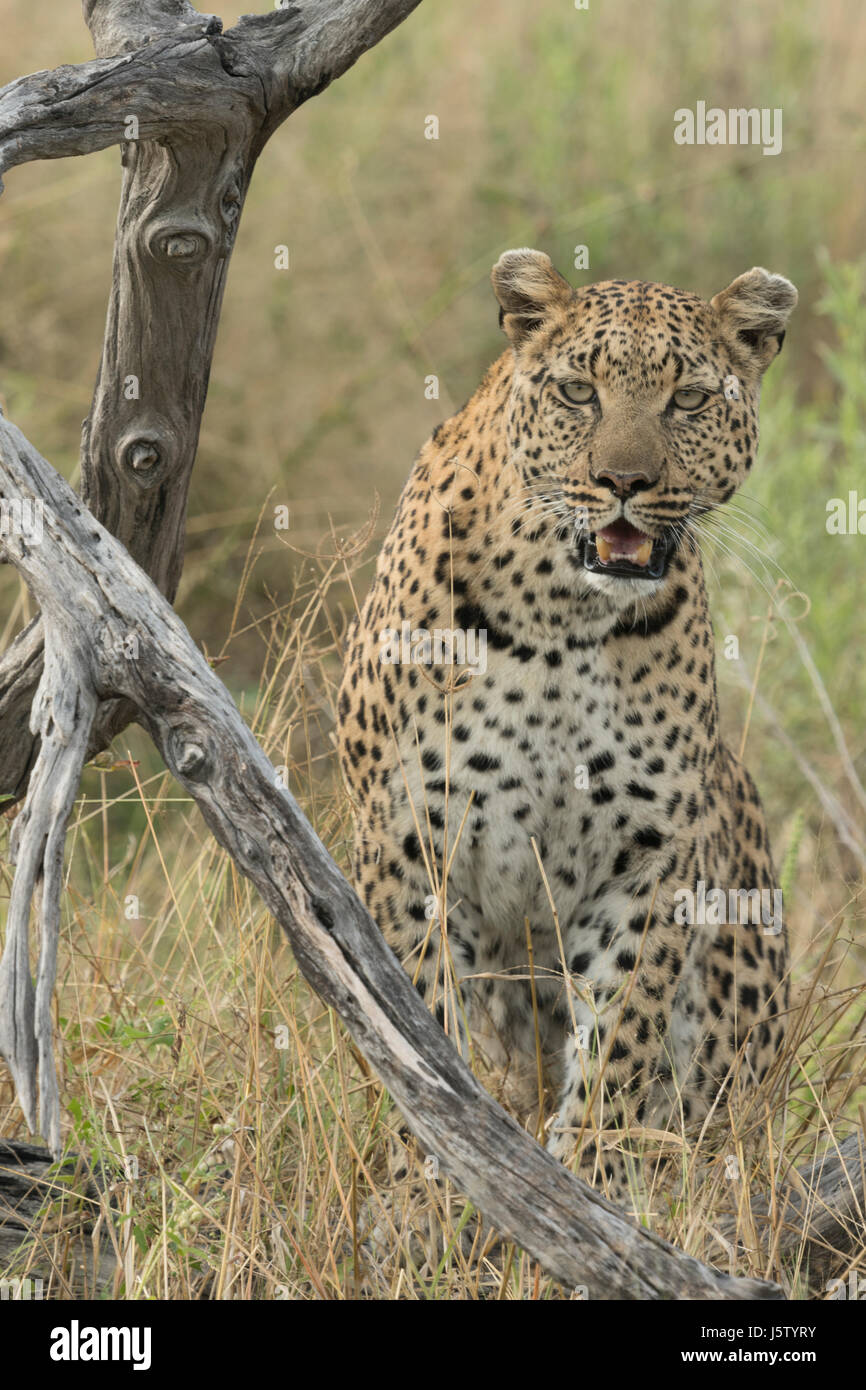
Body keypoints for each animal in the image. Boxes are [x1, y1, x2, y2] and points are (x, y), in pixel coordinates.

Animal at [337, 249, 796, 1208]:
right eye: (579, 392)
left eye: (688, 400)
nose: (625, 483)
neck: (561, 619)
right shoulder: (408, 842)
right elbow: (424, 1029)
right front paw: (432, 1198)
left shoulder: (651, 860)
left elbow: (620, 1035)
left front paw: (589, 1182)